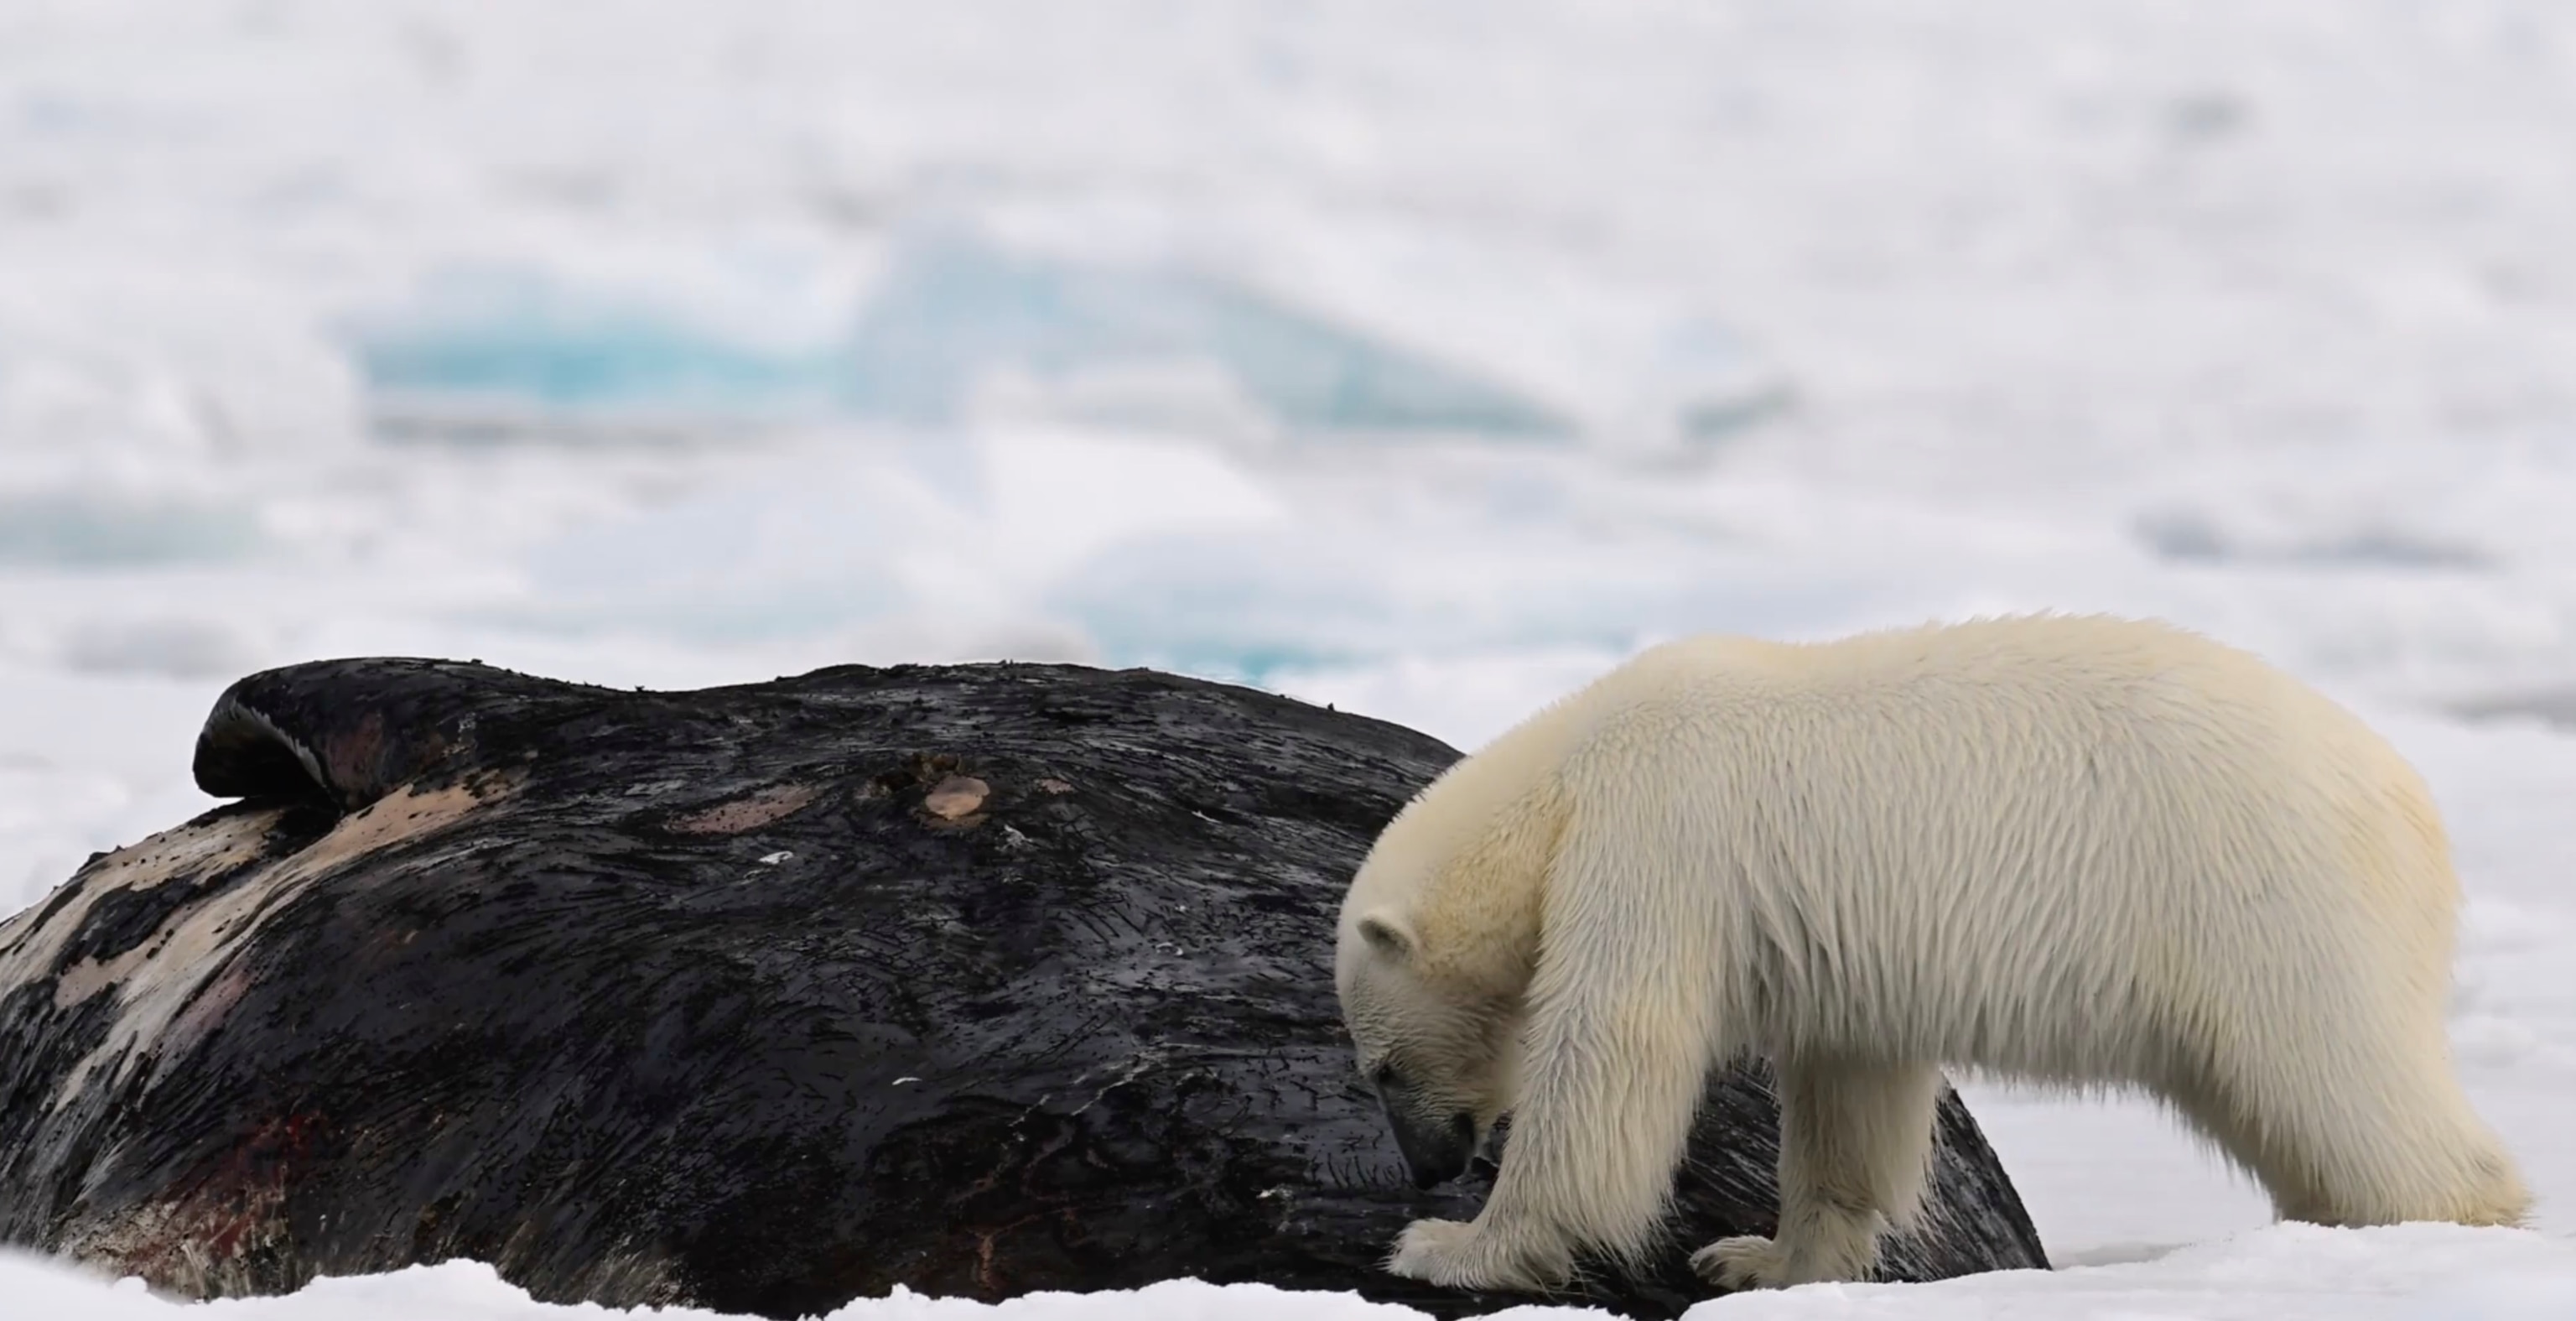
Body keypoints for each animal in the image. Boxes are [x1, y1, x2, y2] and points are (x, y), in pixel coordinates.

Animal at [1335, 612, 2531, 1296]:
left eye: (1381, 1066)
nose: (1428, 1164)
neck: (1566, 777)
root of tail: (2413, 803)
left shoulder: (1655, 841)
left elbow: (1611, 1057)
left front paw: (1450, 1246)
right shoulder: (1818, 938)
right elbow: (1848, 1087)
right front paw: (1763, 1259)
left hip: (2270, 900)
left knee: (2339, 1075)